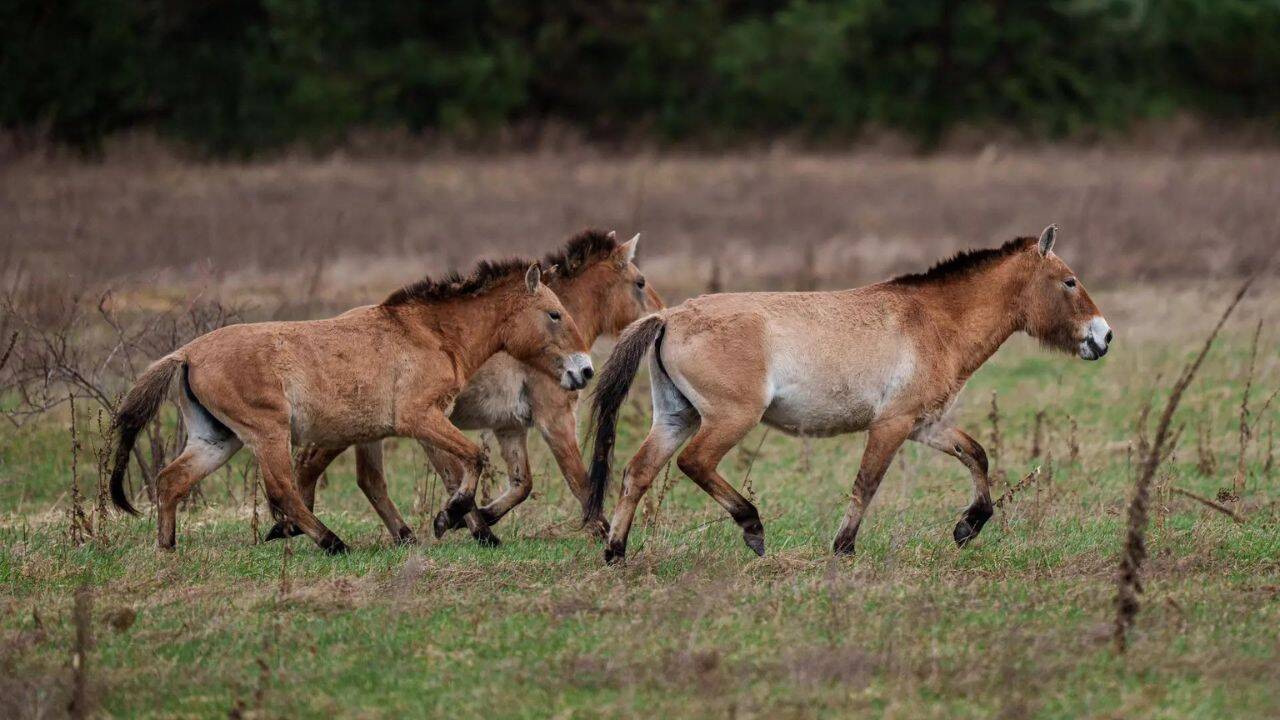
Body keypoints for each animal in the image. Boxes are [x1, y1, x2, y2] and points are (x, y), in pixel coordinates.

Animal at [108, 261, 592, 554]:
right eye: (554, 314)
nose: (584, 370)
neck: (430, 333)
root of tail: (187, 353)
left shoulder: (399, 428)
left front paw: (451, 522)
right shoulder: (419, 418)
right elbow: (473, 459)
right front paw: (448, 517)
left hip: (218, 440)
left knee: (171, 481)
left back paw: (168, 548)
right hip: (267, 433)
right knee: (282, 490)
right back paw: (332, 542)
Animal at [263, 229, 664, 546]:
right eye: (641, 282)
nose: (663, 317)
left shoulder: (509, 427)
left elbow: (521, 484)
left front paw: (476, 517)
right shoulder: (555, 420)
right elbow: (579, 481)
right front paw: (602, 531)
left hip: (368, 430)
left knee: (364, 479)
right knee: (313, 466)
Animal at [585, 226, 1112, 563]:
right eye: (1069, 281)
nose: (1104, 337)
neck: (934, 321)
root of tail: (669, 316)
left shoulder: (923, 424)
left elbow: (977, 456)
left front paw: (968, 526)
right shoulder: (891, 426)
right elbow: (867, 484)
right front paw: (843, 547)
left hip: (677, 418)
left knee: (637, 473)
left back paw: (616, 553)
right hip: (728, 419)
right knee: (694, 463)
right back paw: (752, 528)